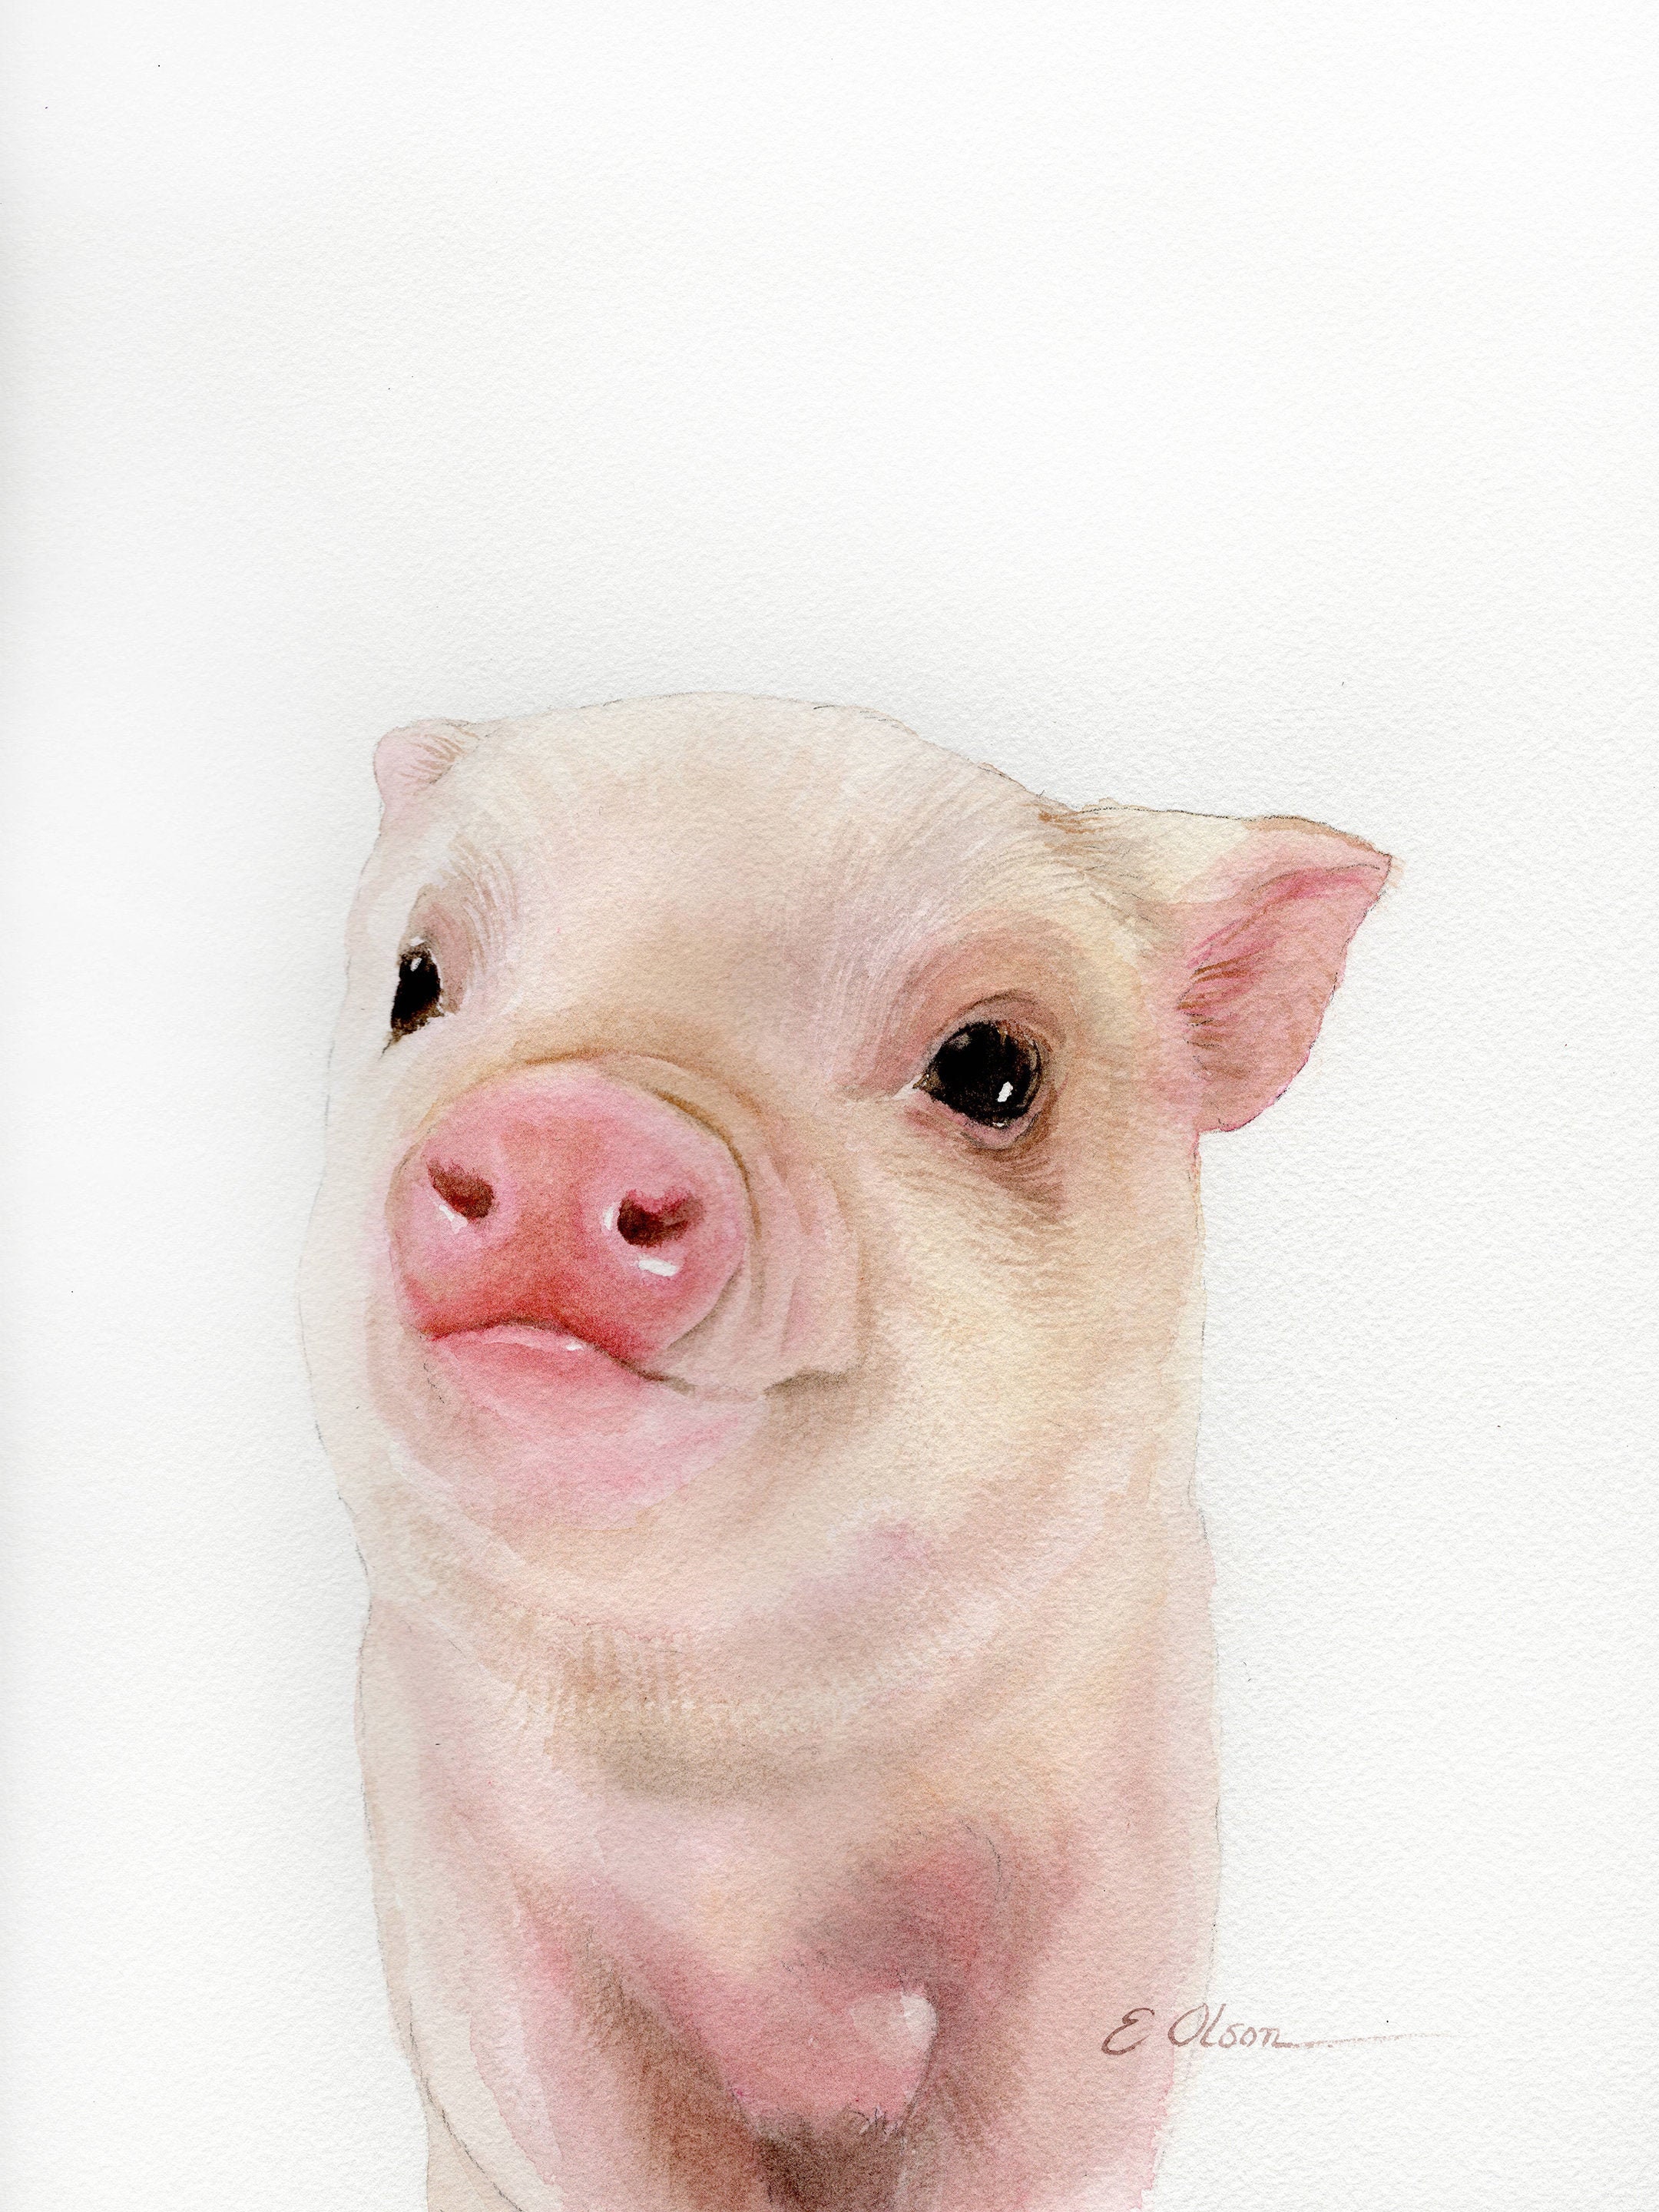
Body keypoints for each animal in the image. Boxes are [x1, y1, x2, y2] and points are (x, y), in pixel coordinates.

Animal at [300, 693, 1390, 2212]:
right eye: (416, 983)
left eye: (991, 1068)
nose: (567, 1122)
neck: (740, 1775)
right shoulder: (460, 1872)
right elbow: (585, 2126)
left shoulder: (1122, 1861)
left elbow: (1039, 2125)